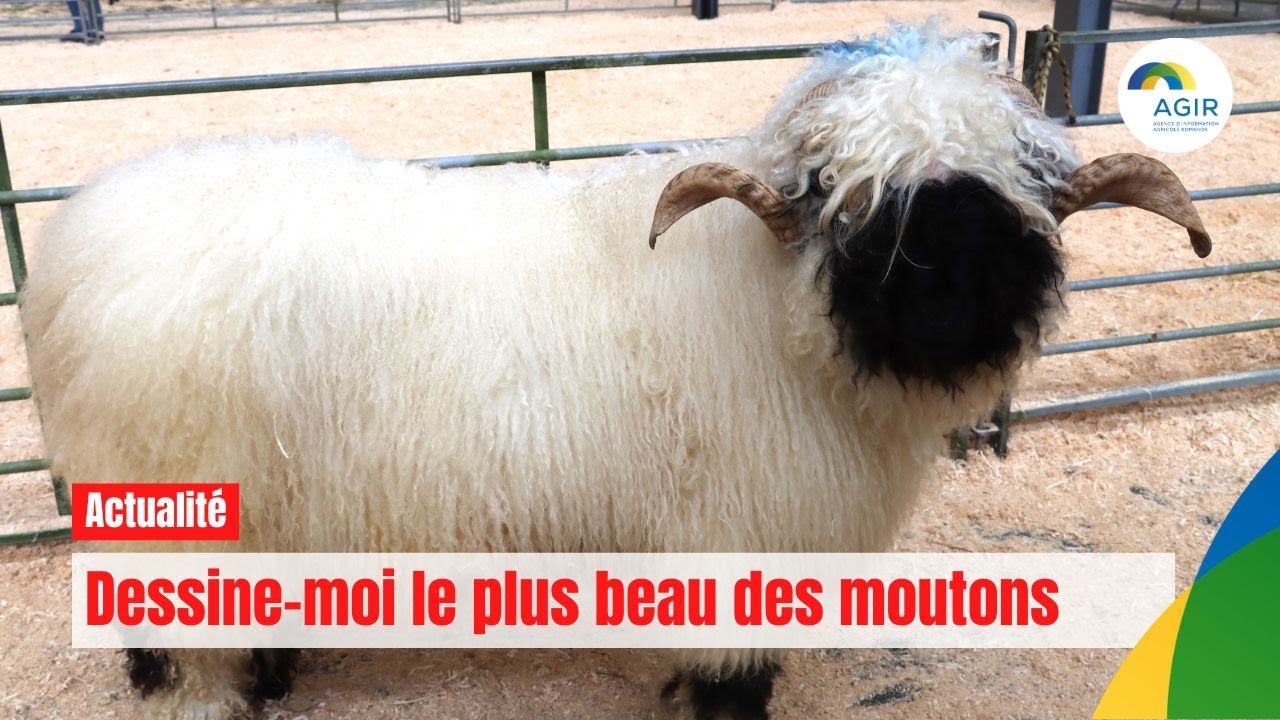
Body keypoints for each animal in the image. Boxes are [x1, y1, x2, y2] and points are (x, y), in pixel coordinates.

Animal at [20, 23, 1211, 720]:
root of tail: (77, 243)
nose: (941, 312)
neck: (770, 316)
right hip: (172, 496)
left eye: (1015, 194)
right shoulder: (735, 531)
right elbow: (733, 678)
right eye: (835, 194)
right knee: (167, 640)